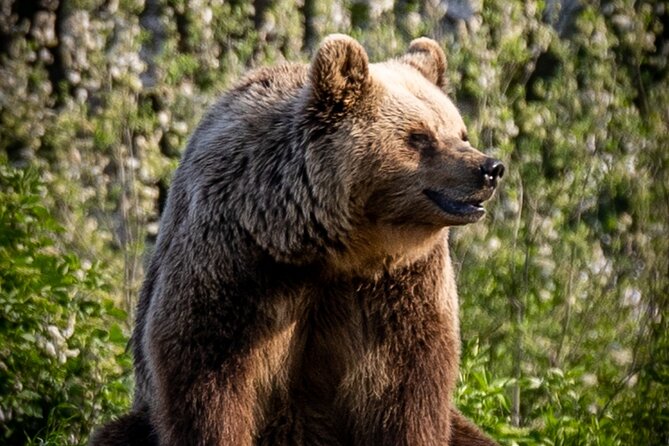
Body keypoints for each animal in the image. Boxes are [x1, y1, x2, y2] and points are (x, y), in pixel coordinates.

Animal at [90, 34, 504, 446]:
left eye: (460, 132)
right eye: (419, 136)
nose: (490, 168)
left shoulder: (401, 282)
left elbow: (406, 386)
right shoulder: (234, 259)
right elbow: (207, 374)